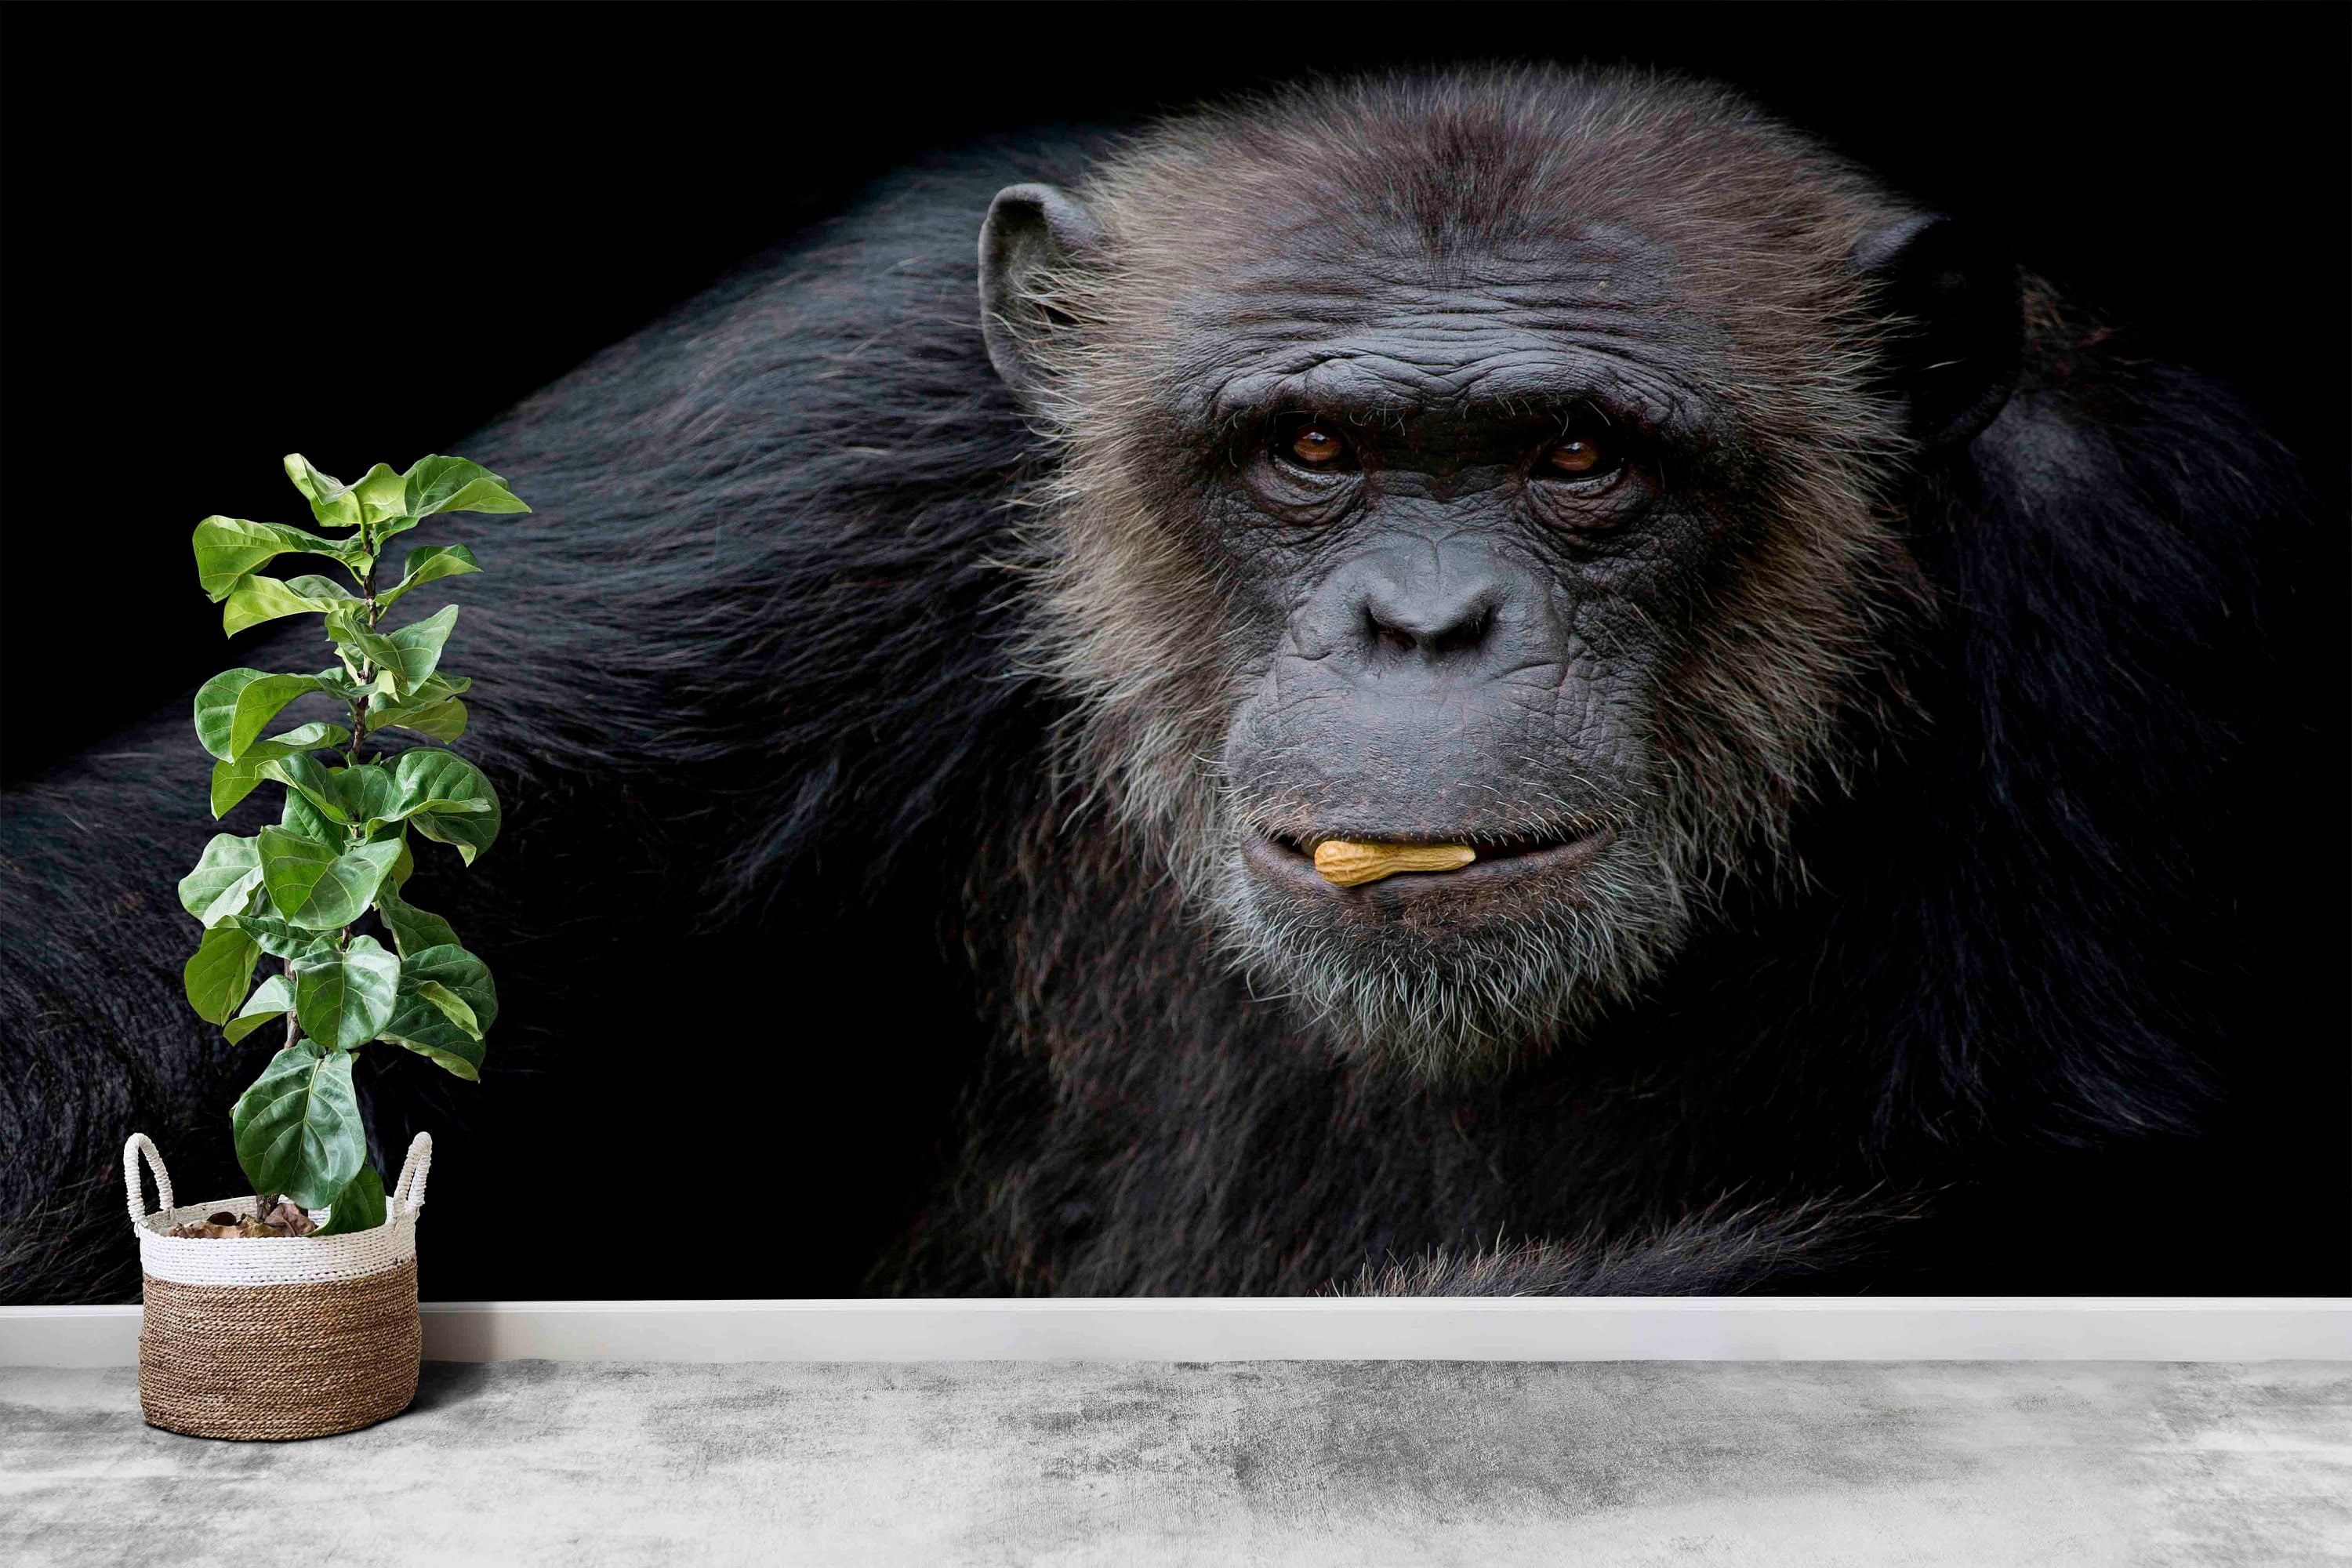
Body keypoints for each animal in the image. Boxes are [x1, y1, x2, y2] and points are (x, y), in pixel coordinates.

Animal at [0, 67, 2330, 1303]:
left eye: (1583, 457)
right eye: (1307, 448)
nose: (1423, 620)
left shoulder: (2155, 585)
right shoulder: (828, 411)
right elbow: (188, 920)